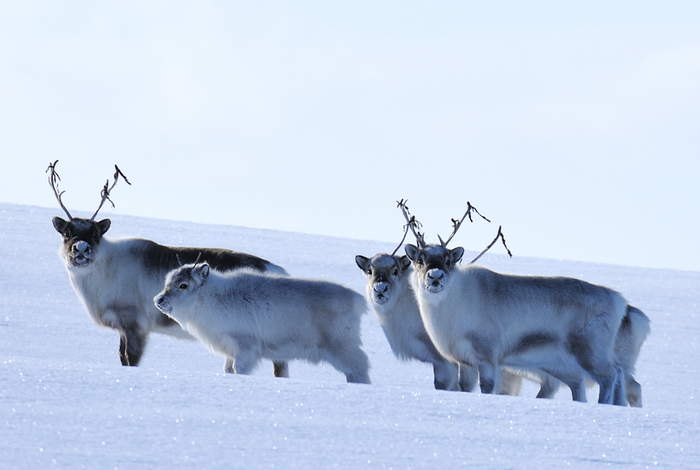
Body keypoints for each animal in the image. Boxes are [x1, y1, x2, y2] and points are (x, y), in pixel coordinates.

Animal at [47, 161, 290, 377]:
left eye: (96, 234)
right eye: (66, 233)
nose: (81, 248)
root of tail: (281, 271)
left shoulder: (135, 324)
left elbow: (129, 360)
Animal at [154, 262, 371, 384]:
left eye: (183, 285)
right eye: (167, 282)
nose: (158, 300)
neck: (209, 298)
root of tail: (359, 301)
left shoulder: (246, 347)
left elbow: (239, 370)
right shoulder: (229, 350)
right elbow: (227, 370)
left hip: (342, 347)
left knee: (360, 367)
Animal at [402, 201, 649, 406]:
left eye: (448, 260)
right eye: (420, 259)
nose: (435, 276)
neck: (447, 311)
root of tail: (619, 301)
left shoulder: (488, 357)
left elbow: (488, 388)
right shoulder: (465, 360)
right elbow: (464, 388)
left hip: (589, 352)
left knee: (611, 376)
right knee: (614, 377)